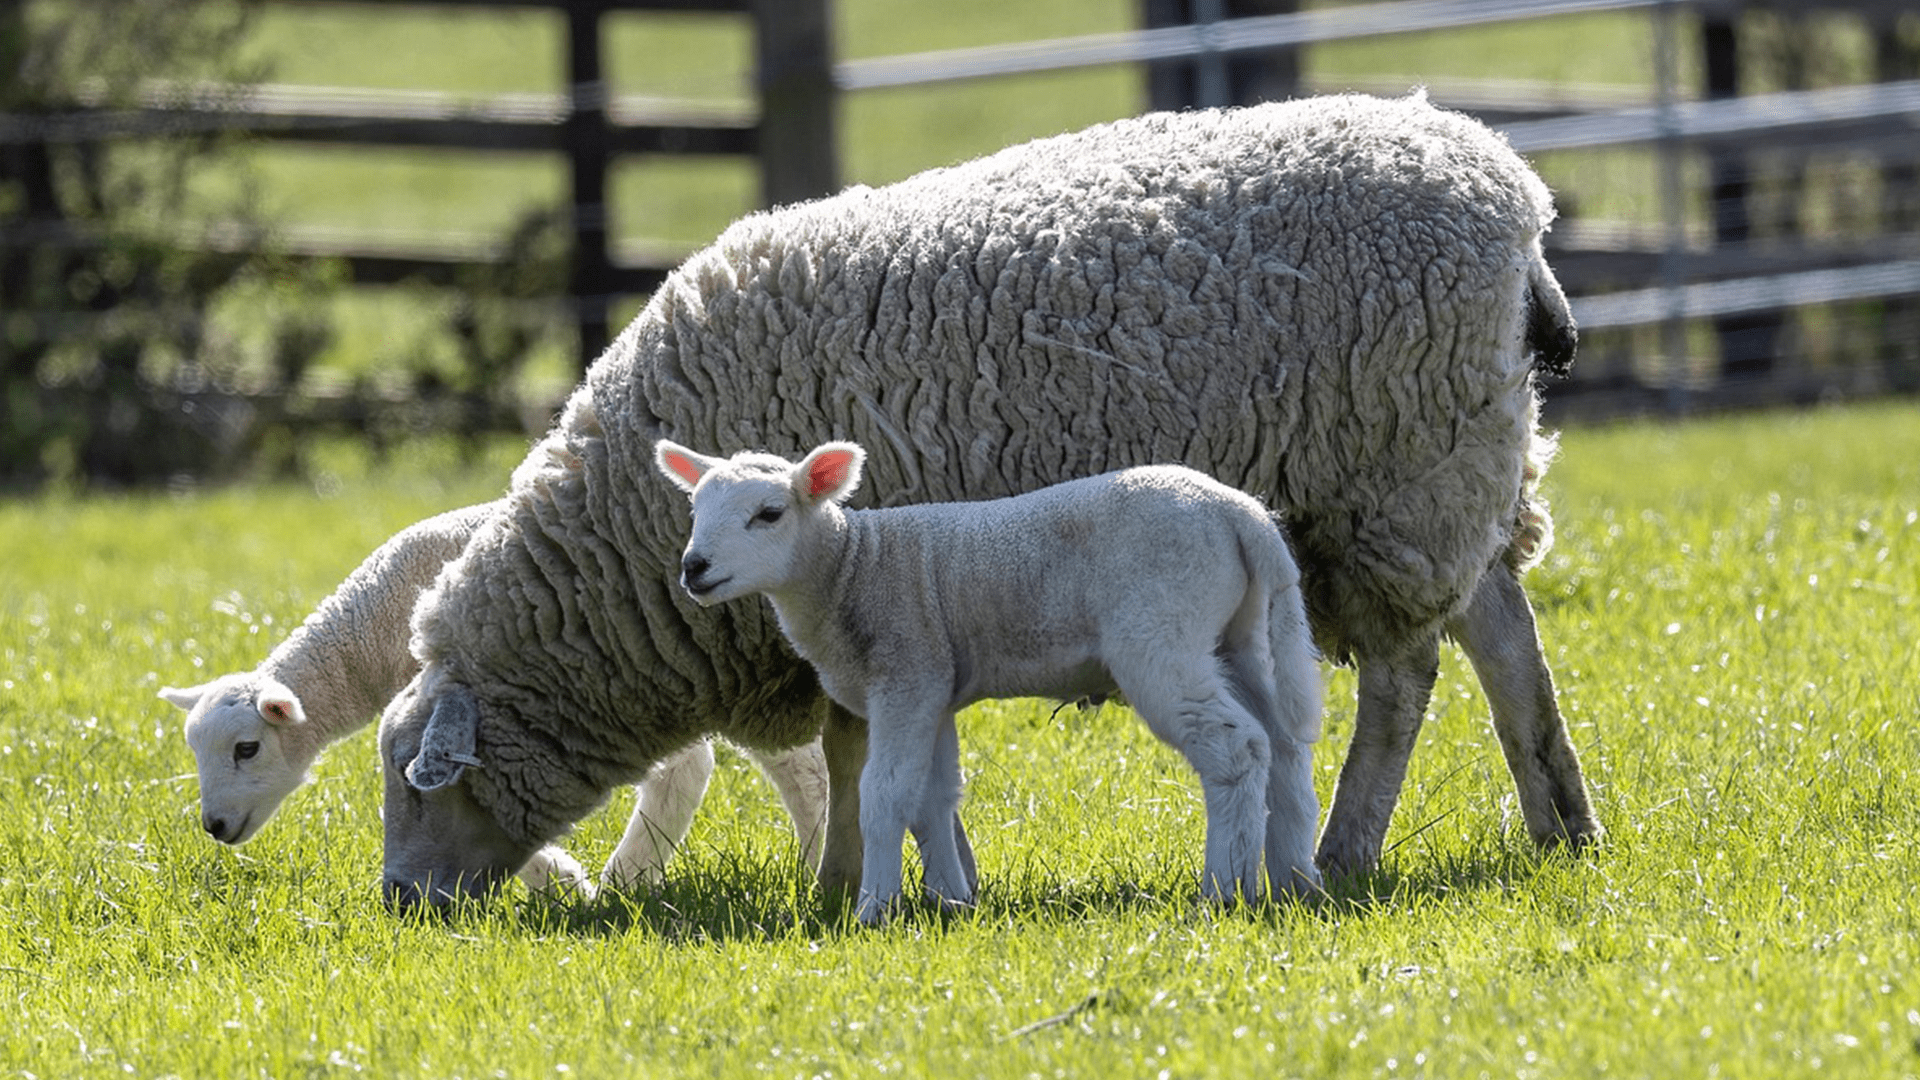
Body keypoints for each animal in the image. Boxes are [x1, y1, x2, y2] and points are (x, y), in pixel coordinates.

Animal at [160, 501, 829, 894]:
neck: (373, 629)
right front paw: (571, 880)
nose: (214, 826)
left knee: (792, 766)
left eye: (247, 748)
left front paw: (564, 880)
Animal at [654, 438, 1323, 922]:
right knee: (1284, 746)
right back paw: (1297, 882)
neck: (852, 567)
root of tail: (1242, 514)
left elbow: (885, 793)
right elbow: (934, 796)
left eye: (768, 514)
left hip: (1162, 632)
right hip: (1240, 635)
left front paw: (875, 909)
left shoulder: (906, 675)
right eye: (695, 511)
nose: (694, 568)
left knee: (1236, 748)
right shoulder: (935, 688)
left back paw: (1225, 890)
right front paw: (950, 901)